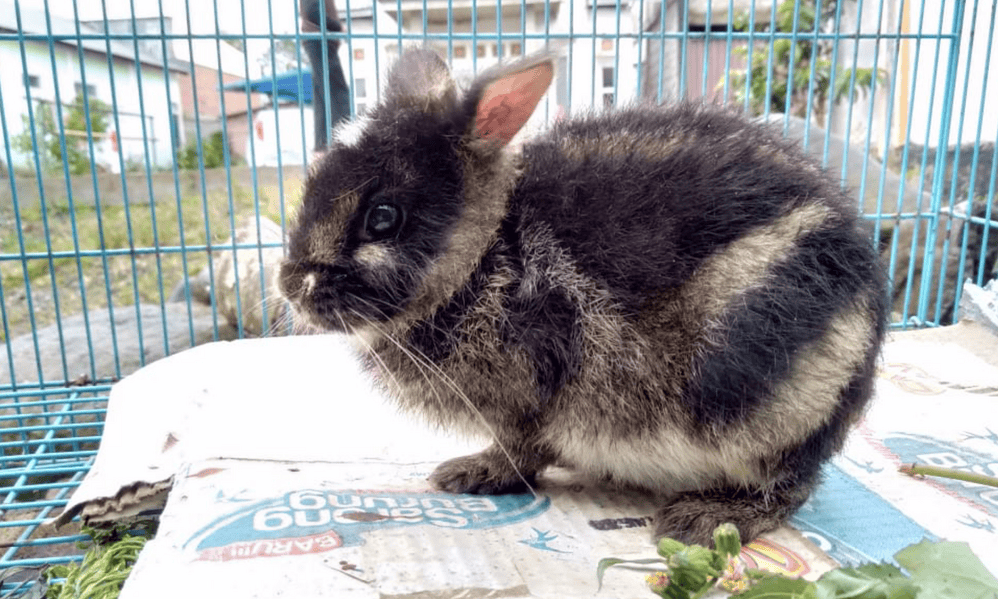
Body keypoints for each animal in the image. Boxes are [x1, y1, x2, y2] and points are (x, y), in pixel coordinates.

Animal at [278, 48, 889, 546]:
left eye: (383, 218)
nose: (291, 289)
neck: (488, 252)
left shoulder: (531, 397)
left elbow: (521, 450)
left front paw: (472, 474)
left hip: (745, 390)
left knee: (791, 484)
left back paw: (709, 518)